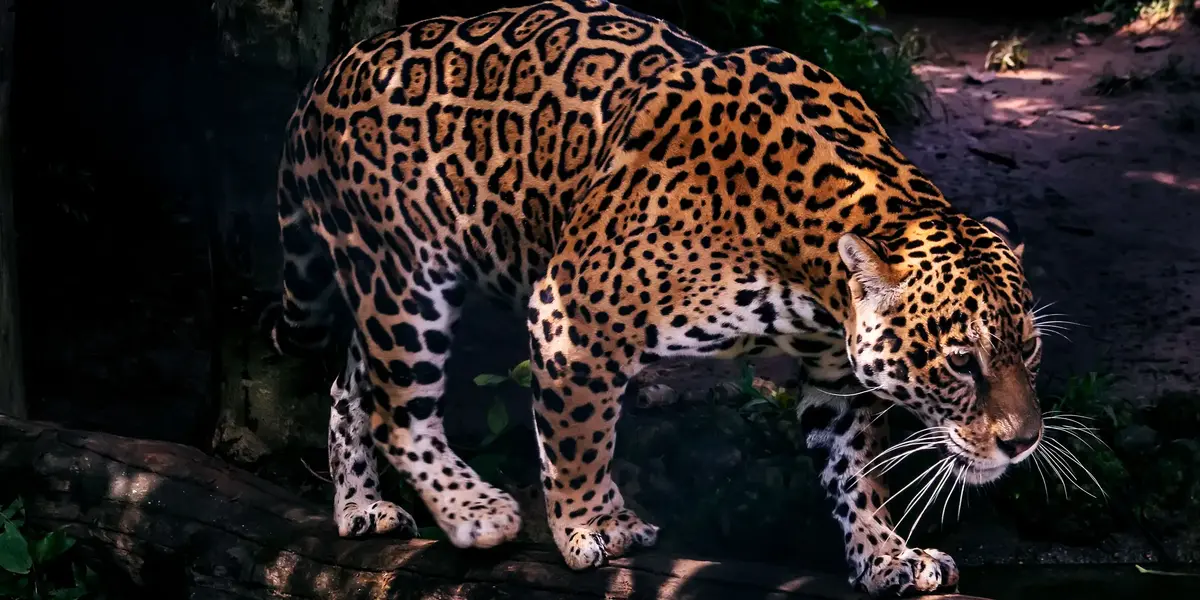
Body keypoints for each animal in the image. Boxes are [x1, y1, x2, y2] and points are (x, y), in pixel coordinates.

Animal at [261, 0, 1046, 595]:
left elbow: (853, 472)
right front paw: (593, 528)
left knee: (348, 386)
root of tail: (325, 77)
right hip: (406, 277)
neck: (811, 265)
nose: (1023, 443)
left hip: (382, 279)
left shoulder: (834, 376)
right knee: (399, 411)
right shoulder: (572, 313)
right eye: (961, 361)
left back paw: (362, 507)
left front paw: (887, 556)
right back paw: (473, 511)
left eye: (1030, 349)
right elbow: (580, 437)